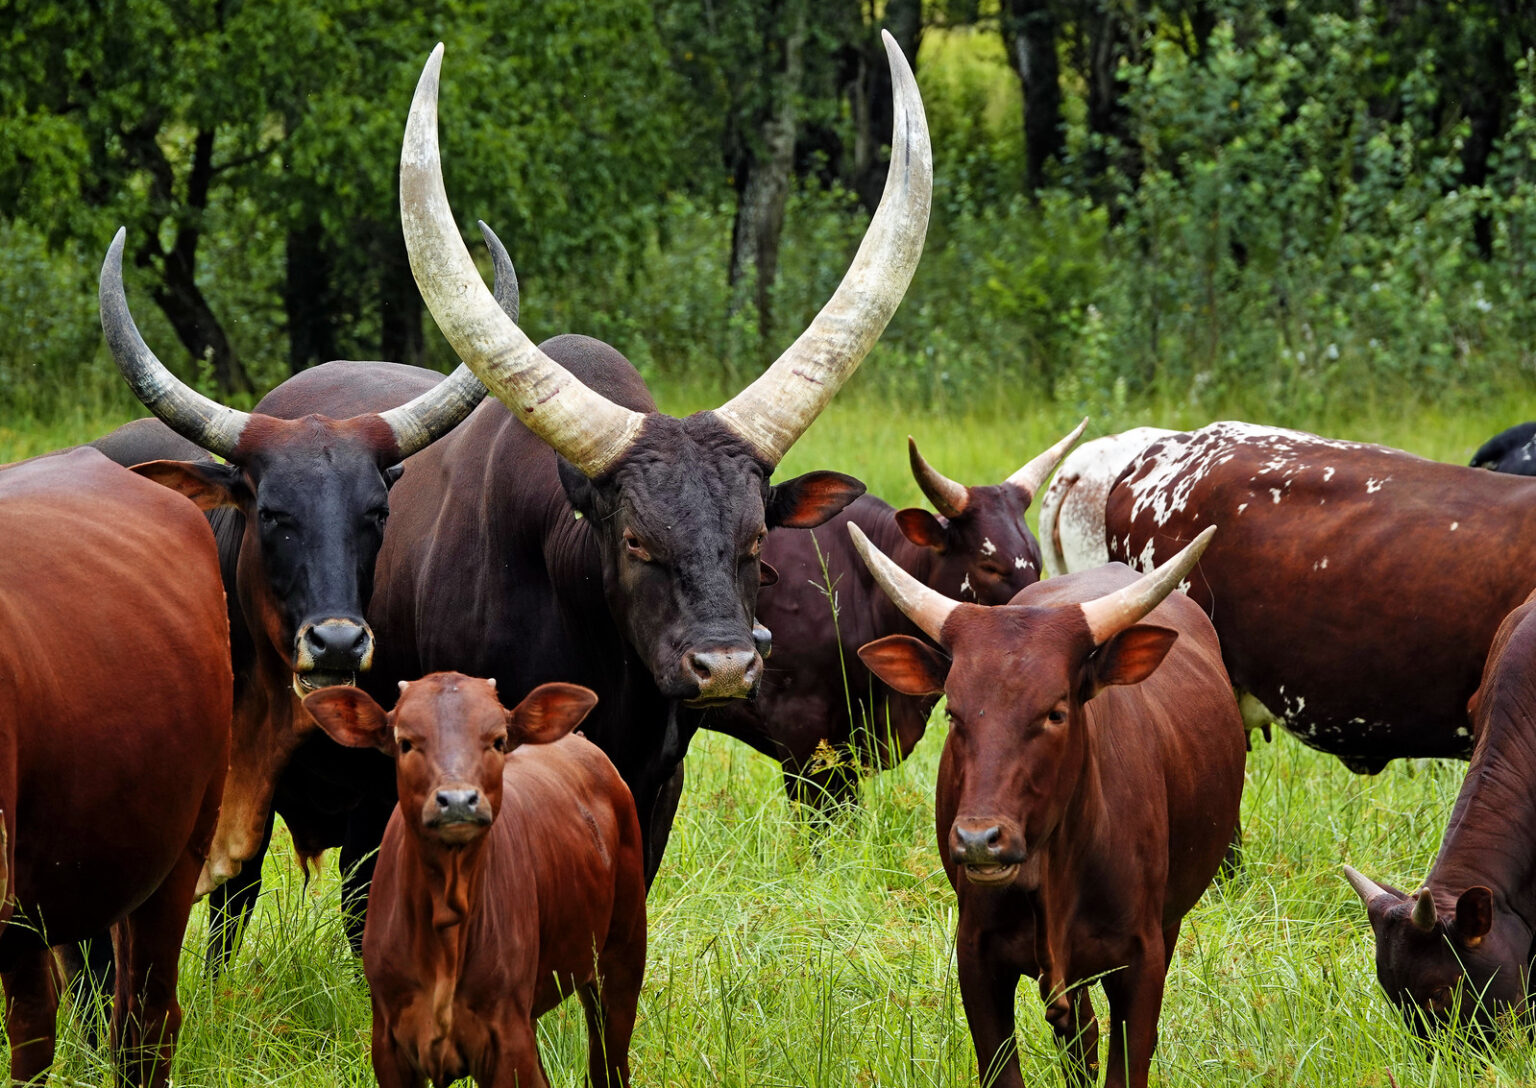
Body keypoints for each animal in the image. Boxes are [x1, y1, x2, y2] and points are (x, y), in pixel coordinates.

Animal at [301, 674, 645, 1088]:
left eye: (497, 740)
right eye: (405, 742)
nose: (457, 800)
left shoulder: (507, 1042)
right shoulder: (388, 1041)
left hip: (623, 956)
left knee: (608, 1063)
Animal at [847, 524, 1244, 1088]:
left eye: (1055, 712)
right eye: (953, 712)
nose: (979, 840)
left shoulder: (1141, 958)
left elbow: (1130, 1065)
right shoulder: (977, 955)